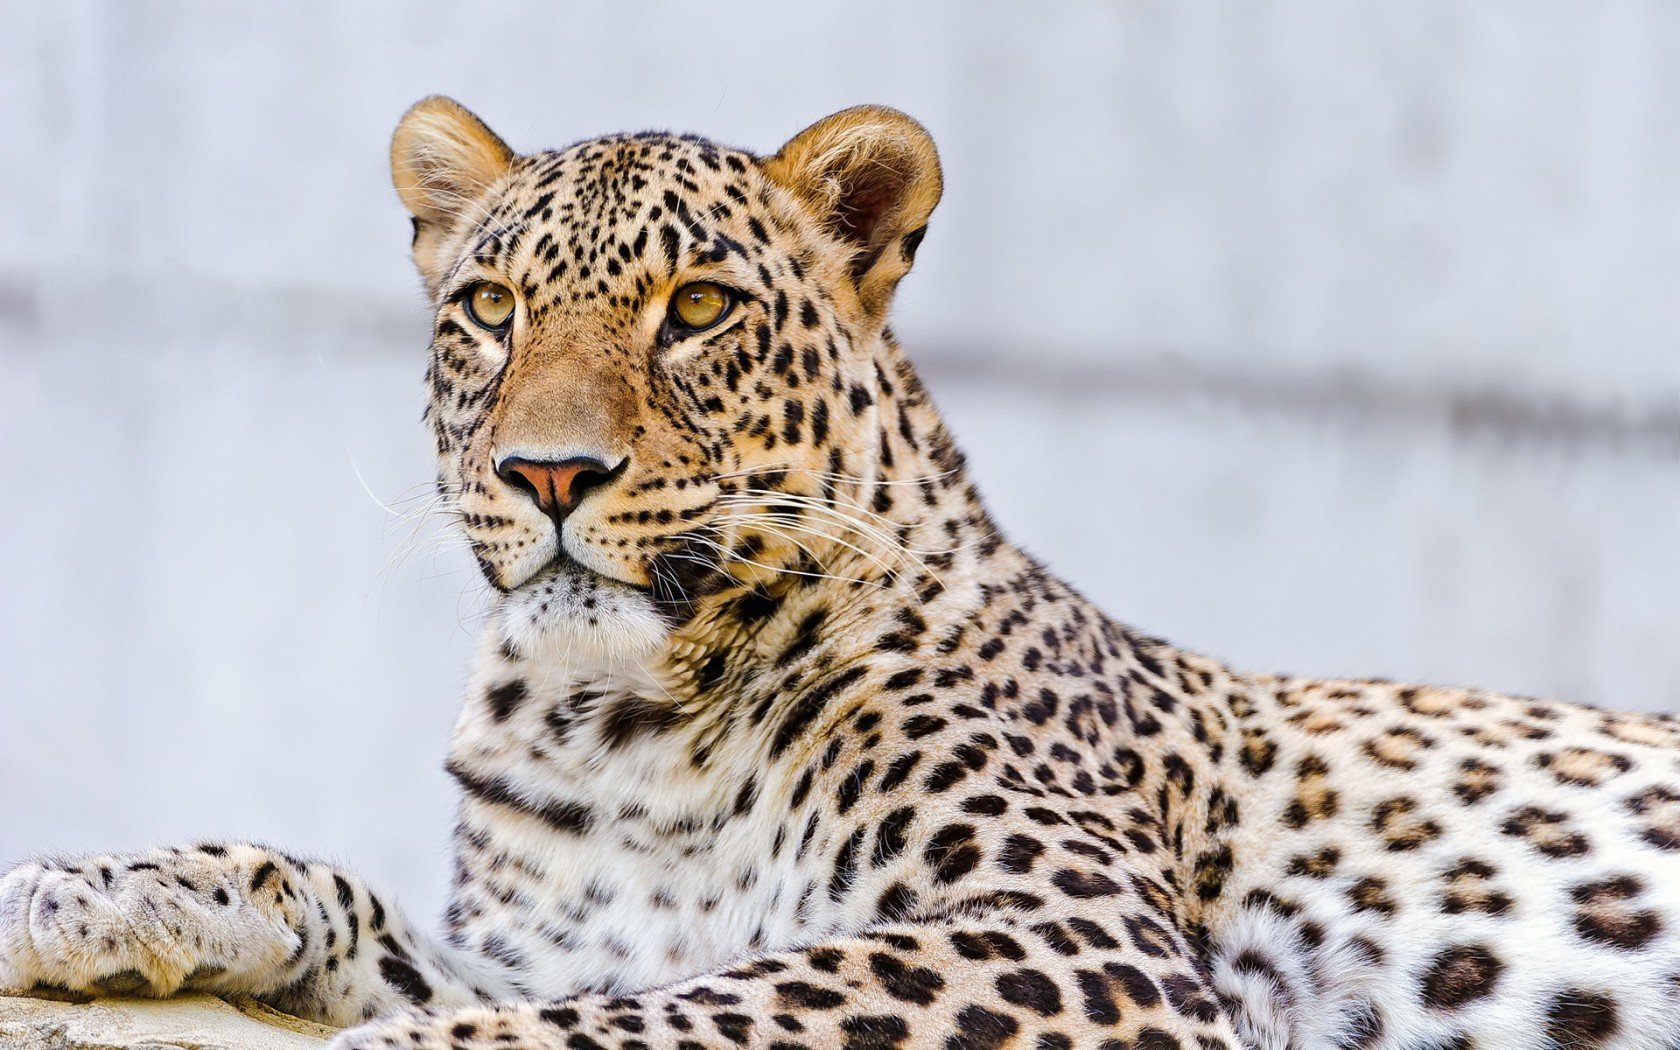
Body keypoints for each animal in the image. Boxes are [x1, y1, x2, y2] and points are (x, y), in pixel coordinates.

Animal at [4, 96, 1679, 1050]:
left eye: (696, 308)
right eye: (489, 305)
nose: (548, 473)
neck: (620, 722)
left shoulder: (1070, 936)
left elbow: (692, 1015)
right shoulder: (554, 947)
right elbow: (354, 899)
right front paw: (94, 888)